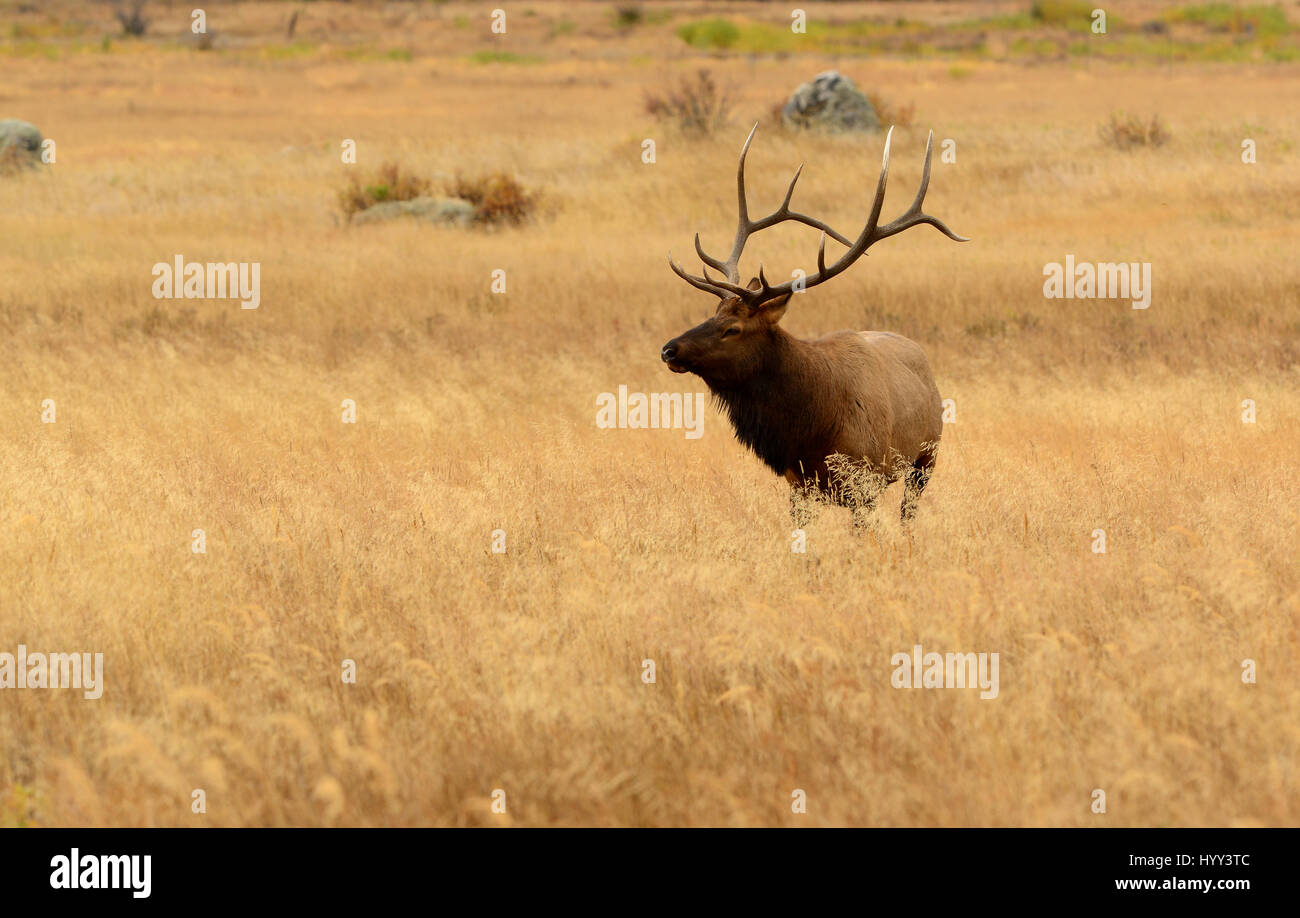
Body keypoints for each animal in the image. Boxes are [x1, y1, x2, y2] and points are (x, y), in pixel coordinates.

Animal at [660, 124, 967, 527]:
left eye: (732, 329)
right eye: (712, 314)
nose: (669, 349)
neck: (813, 426)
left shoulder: (864, 480)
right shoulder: (798, 484)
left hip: (926, 457)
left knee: (908, 513)